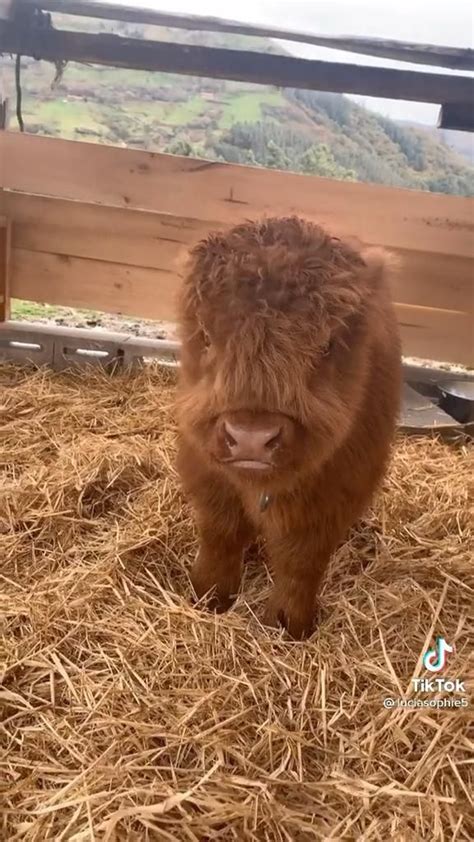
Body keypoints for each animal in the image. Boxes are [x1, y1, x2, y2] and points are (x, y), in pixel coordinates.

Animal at [176, 216, 402, 639]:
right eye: (207, 336)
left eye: (327, 345)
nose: (251, 438)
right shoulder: (208, 475)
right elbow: (220, 534)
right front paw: (208, 596)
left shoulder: (332, 496)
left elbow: (301, 561)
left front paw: (288, 626)